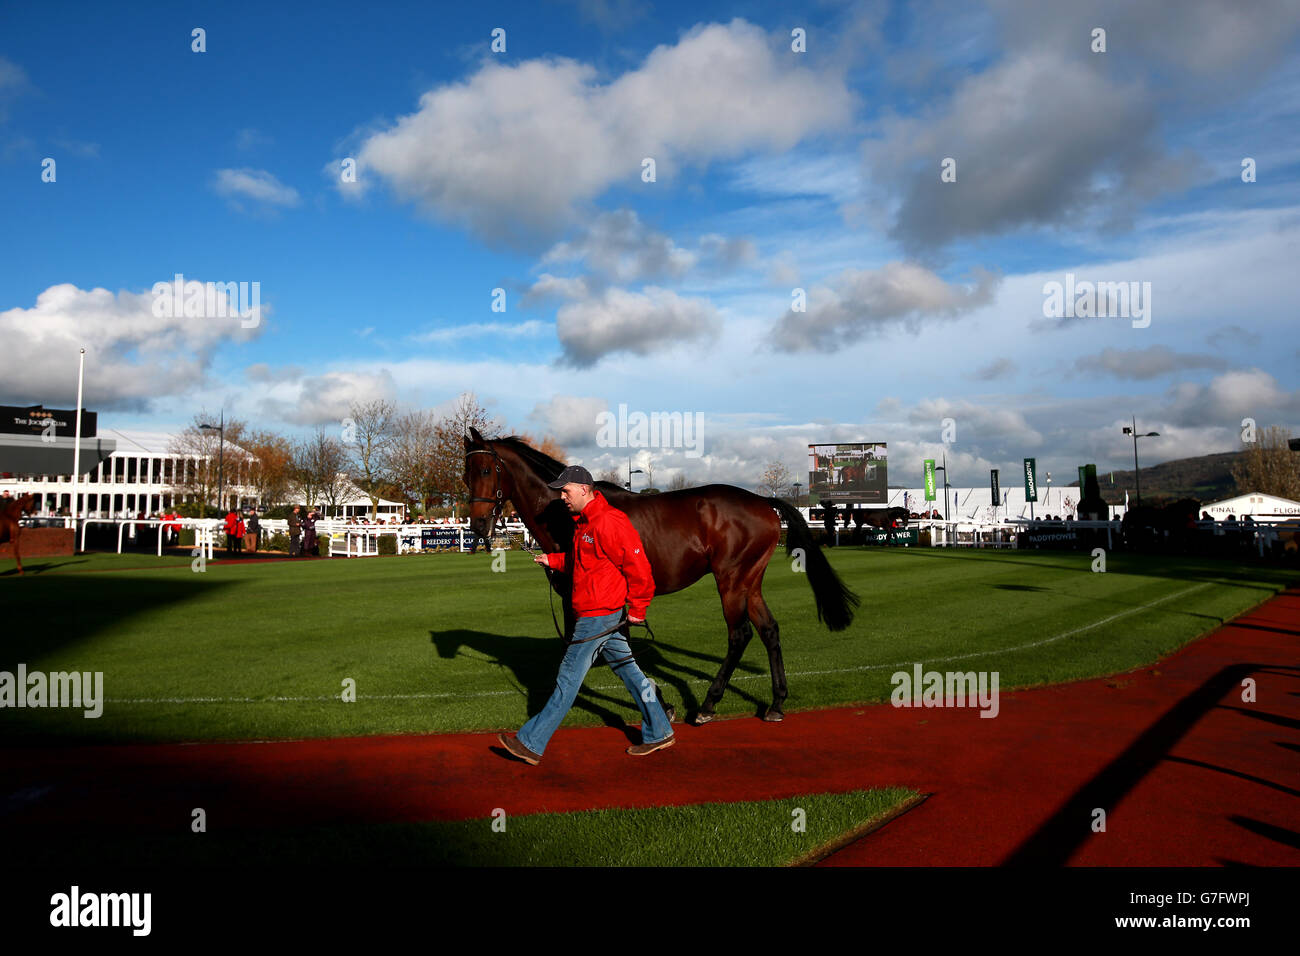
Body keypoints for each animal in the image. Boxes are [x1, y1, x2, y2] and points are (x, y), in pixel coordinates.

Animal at [463, 429, 859, 723]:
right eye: (465, 474)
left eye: (486, 471)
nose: (478, 526)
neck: (572, 516)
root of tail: (764, 502)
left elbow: (610, 649)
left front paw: (659, 702)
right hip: (751, 580)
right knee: (769, 630)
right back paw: (776, 703)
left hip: (731, 579)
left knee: (740, 634)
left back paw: (708, 704)